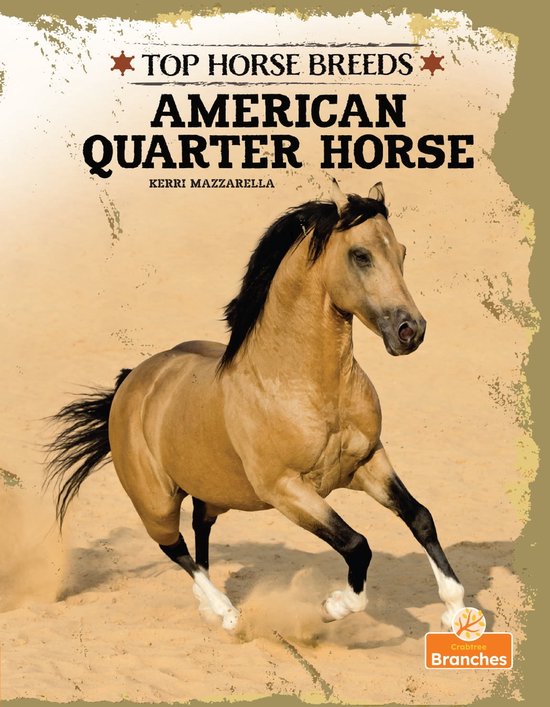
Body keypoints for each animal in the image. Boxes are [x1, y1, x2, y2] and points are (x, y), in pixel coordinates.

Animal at [46, 181, 465, 632]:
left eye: (402, 252)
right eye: (361, 255)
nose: (411, 331)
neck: (307, 387)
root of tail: (132, 382)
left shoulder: (368, 461)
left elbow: (420, 517)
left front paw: (457, 610)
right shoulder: (286, 490)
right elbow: (357, 545)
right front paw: (332, 606)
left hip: (211, 491)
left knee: (200, 532)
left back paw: (207, 604)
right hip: (156, 504)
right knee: (176, 548)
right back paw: (225, 614)